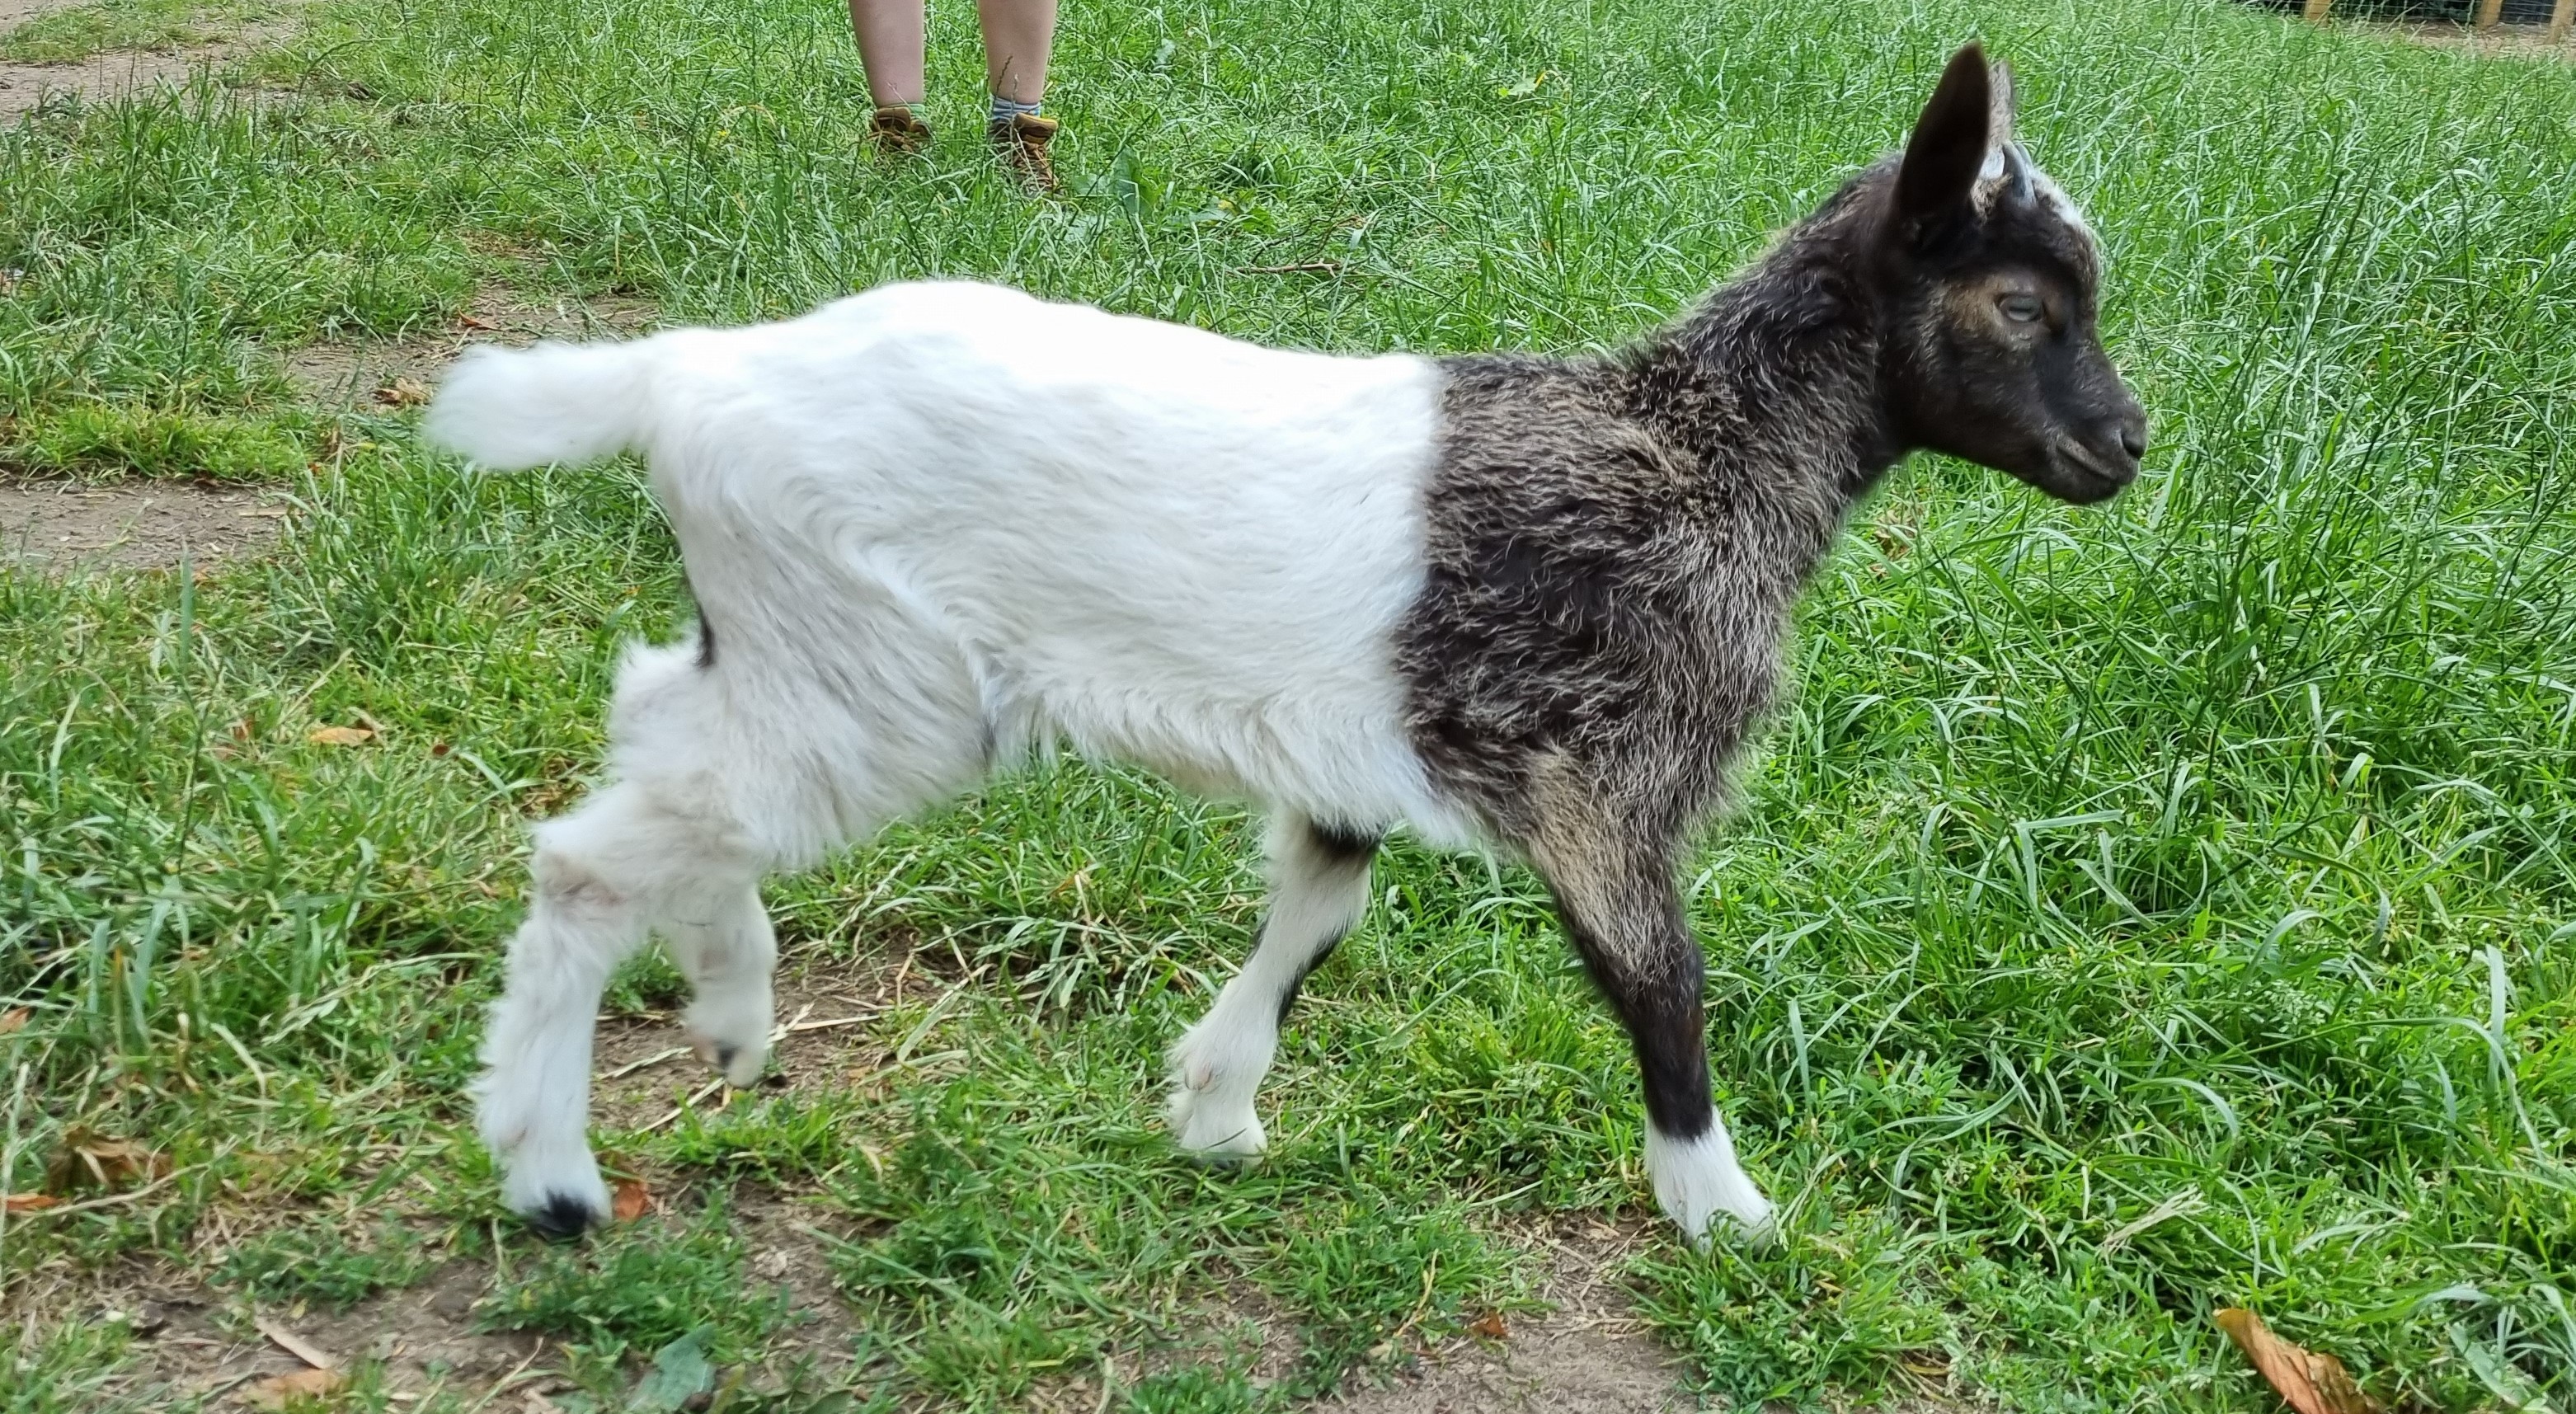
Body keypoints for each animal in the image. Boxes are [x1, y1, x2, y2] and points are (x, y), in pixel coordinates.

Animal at [426, 43, 2145, 1243]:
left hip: (794, 647)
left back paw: (728, 1004)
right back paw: (553, 1171)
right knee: (590, 857)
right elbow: (1664, 991)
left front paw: (1214, 1110)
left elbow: (1314, 919)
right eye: (2017, 306)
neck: (1692, 448)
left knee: (658, 736)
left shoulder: (1359, 759)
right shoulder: (1598, 778)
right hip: (876, 685)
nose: (2122, 447)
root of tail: (682, 376)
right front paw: (1723, 1215)